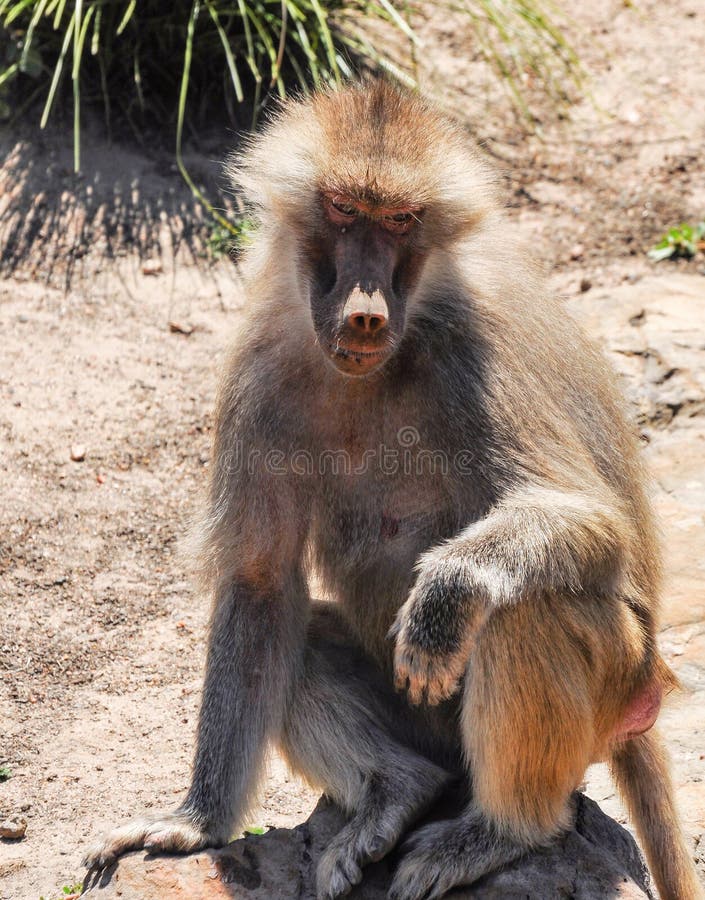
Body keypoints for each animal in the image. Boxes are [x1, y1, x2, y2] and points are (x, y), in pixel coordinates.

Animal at [83, 81, 704, 900]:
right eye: (346, 209)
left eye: (402, 221)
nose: (366, 311)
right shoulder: (258, 372)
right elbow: (257, 583)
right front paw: (195, 823)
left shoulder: (475, 354)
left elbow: (591, 522)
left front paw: (444, 594)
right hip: (433, 733)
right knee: (302, 634)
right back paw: (394, 794)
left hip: (613, 682)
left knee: (523, 610)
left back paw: (499, 831)